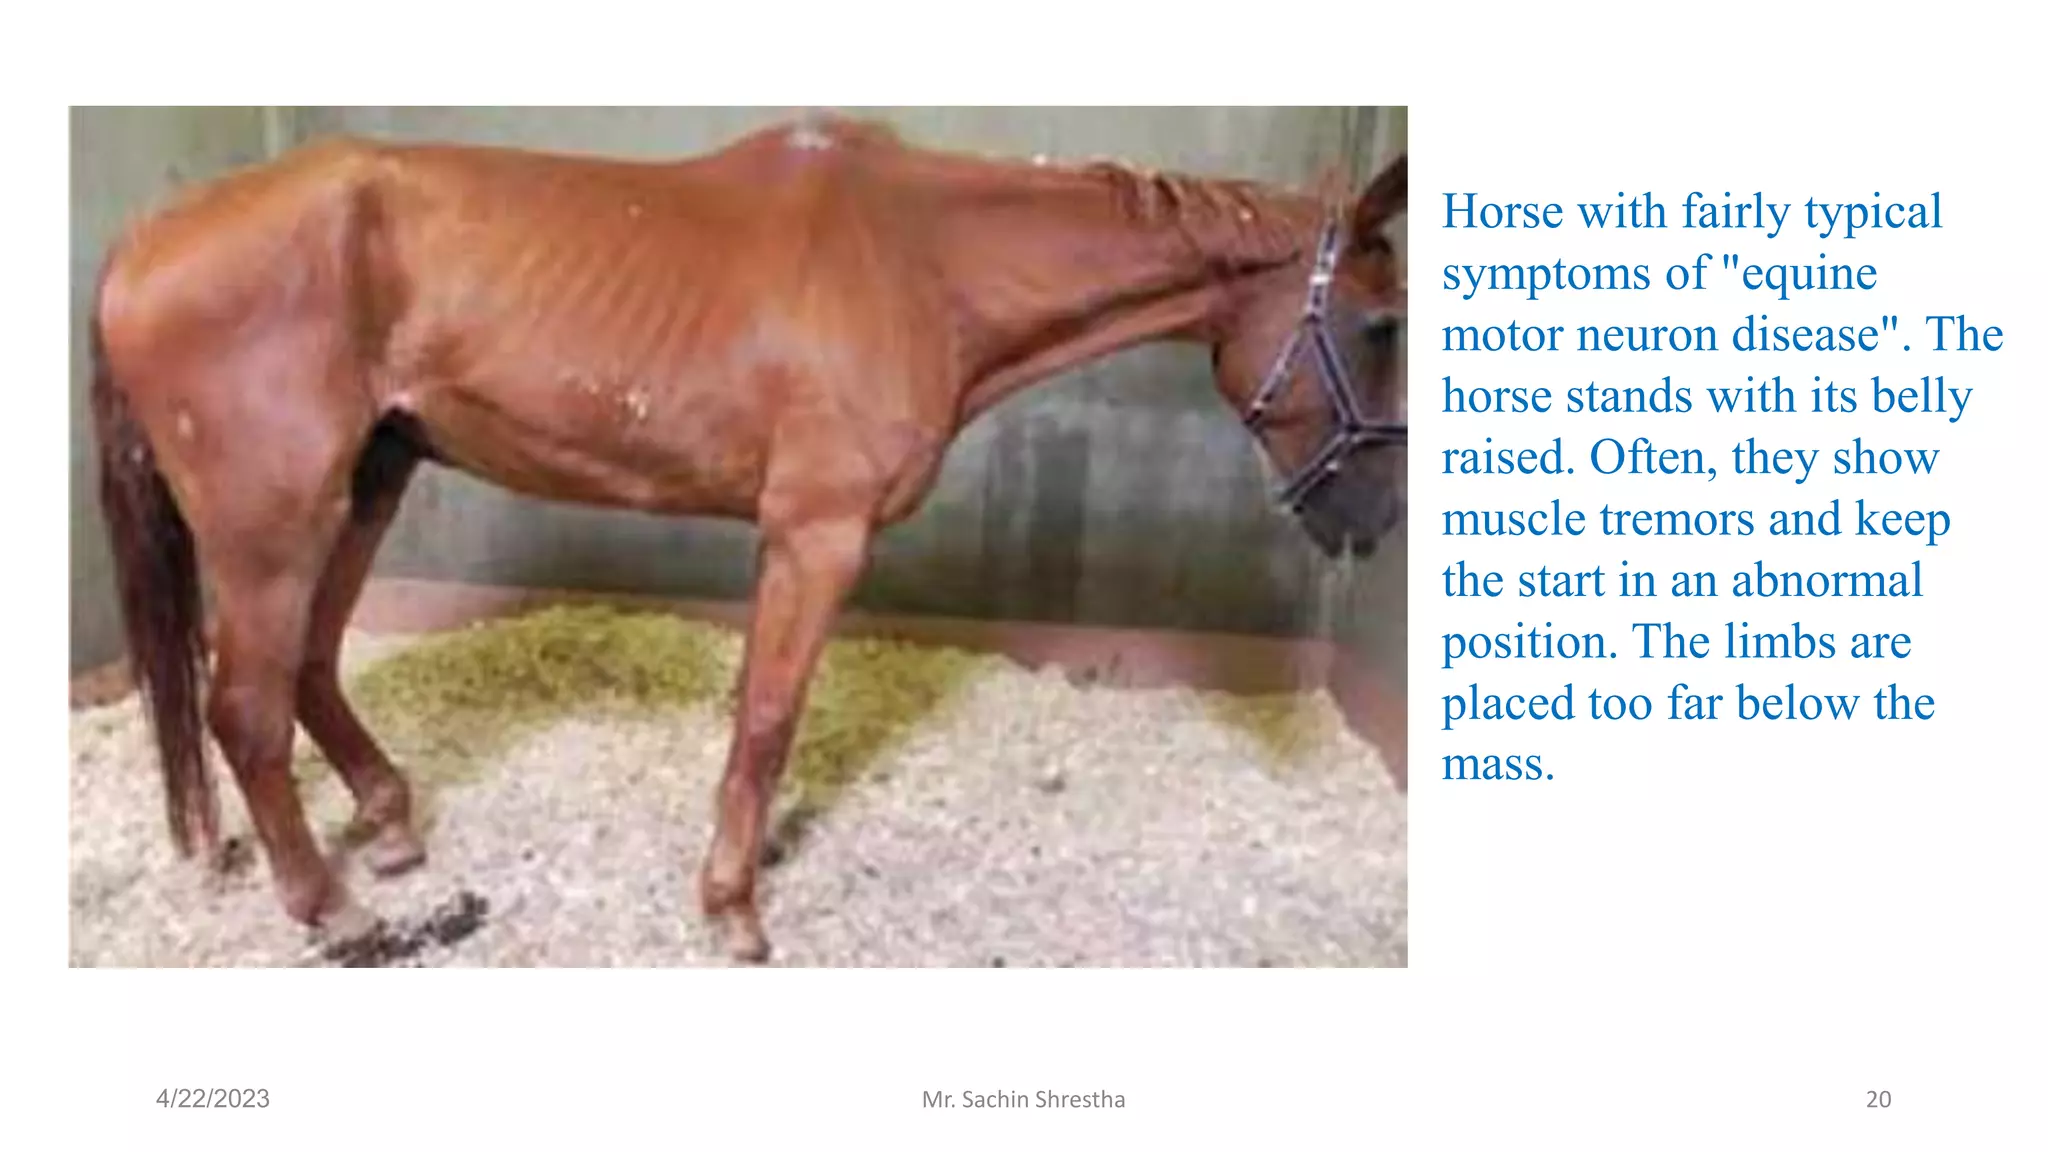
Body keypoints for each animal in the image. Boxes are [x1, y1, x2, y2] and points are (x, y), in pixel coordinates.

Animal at [89, 115, 1408, 961]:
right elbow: (767, 718)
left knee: (308, 669)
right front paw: (731, 906)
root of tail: (146, 238)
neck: (918, 260)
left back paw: (390, 821)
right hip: (273, 523)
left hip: (368, 485)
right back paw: (330, 907)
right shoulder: (816, 536)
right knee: (246, 707)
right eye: (1381, 324)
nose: (1373, 520)